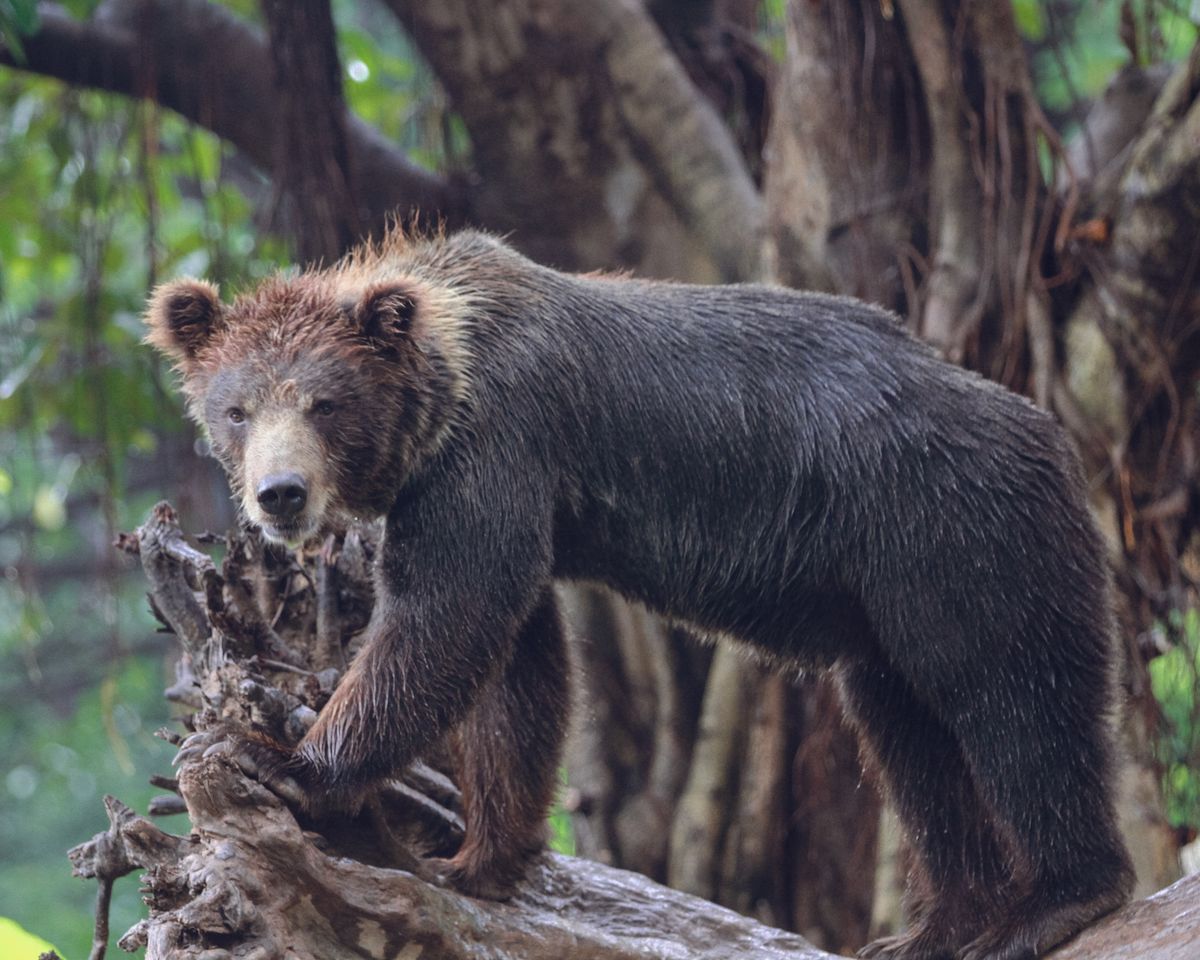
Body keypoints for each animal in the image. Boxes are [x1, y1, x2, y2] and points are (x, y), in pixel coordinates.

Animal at [147, 229, 1134, 960]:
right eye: (237, 408)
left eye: (323, 403)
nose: (280, 494)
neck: (439, 390)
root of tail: (1049, 432)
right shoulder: (504, 497)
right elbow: (519, 667)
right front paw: (481, 856)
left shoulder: (492, 455)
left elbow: (442, 623)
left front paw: (289, 758)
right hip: (882, 601)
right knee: (909, 736)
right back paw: (936, 928)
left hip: (952, 534)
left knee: (1010, 700)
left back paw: (1055, 902)